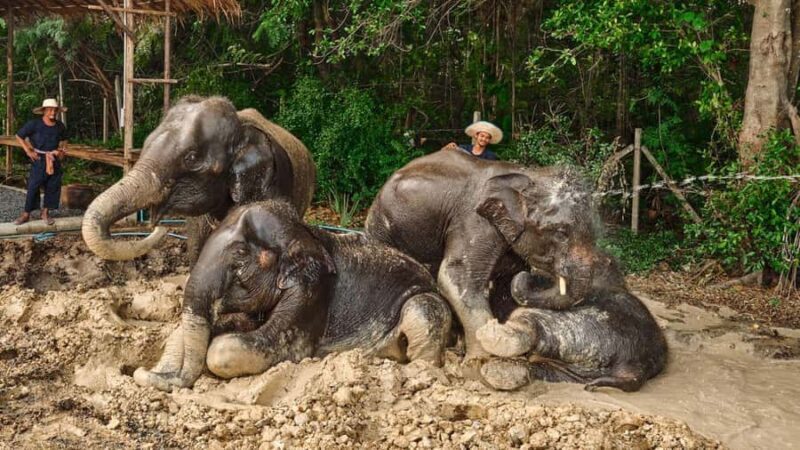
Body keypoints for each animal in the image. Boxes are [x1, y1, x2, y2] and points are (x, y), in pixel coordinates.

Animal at [133, 200, 452, 392]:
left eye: (239, 256)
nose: (142, 373)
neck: (304, 231)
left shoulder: (312, 289)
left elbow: (233, 349)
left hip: (425, 301)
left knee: (423, 313)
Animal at [366, 148, 602, 361]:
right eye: (561, 233)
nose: (529, 275)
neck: (530, 174)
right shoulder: (474, 221)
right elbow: (456, 278)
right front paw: (482, 364)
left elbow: (504, 288)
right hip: (381, 225)